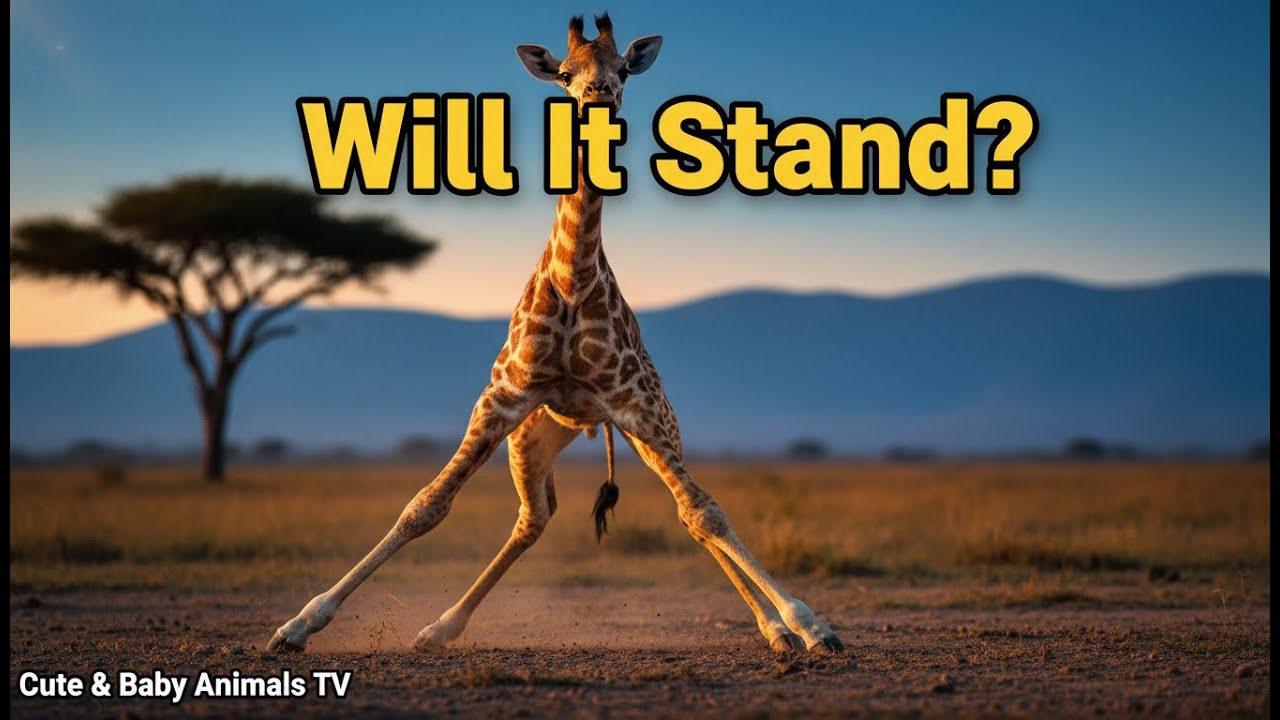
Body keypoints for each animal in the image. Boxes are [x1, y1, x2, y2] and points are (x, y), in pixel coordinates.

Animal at [267, 13, 844, 656]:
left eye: (622, 70)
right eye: (566, 74)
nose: (599, 94)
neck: (571, 280)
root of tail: (586, 428)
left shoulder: (636, 408)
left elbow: (707, 514)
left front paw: (809, 623)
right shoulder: (500, 401)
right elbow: (424, 507)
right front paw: (297, 624)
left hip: (652, 429)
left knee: (683, 514)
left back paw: (777, 629)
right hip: (532, 437)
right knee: (534, 516)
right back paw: (440, 627)